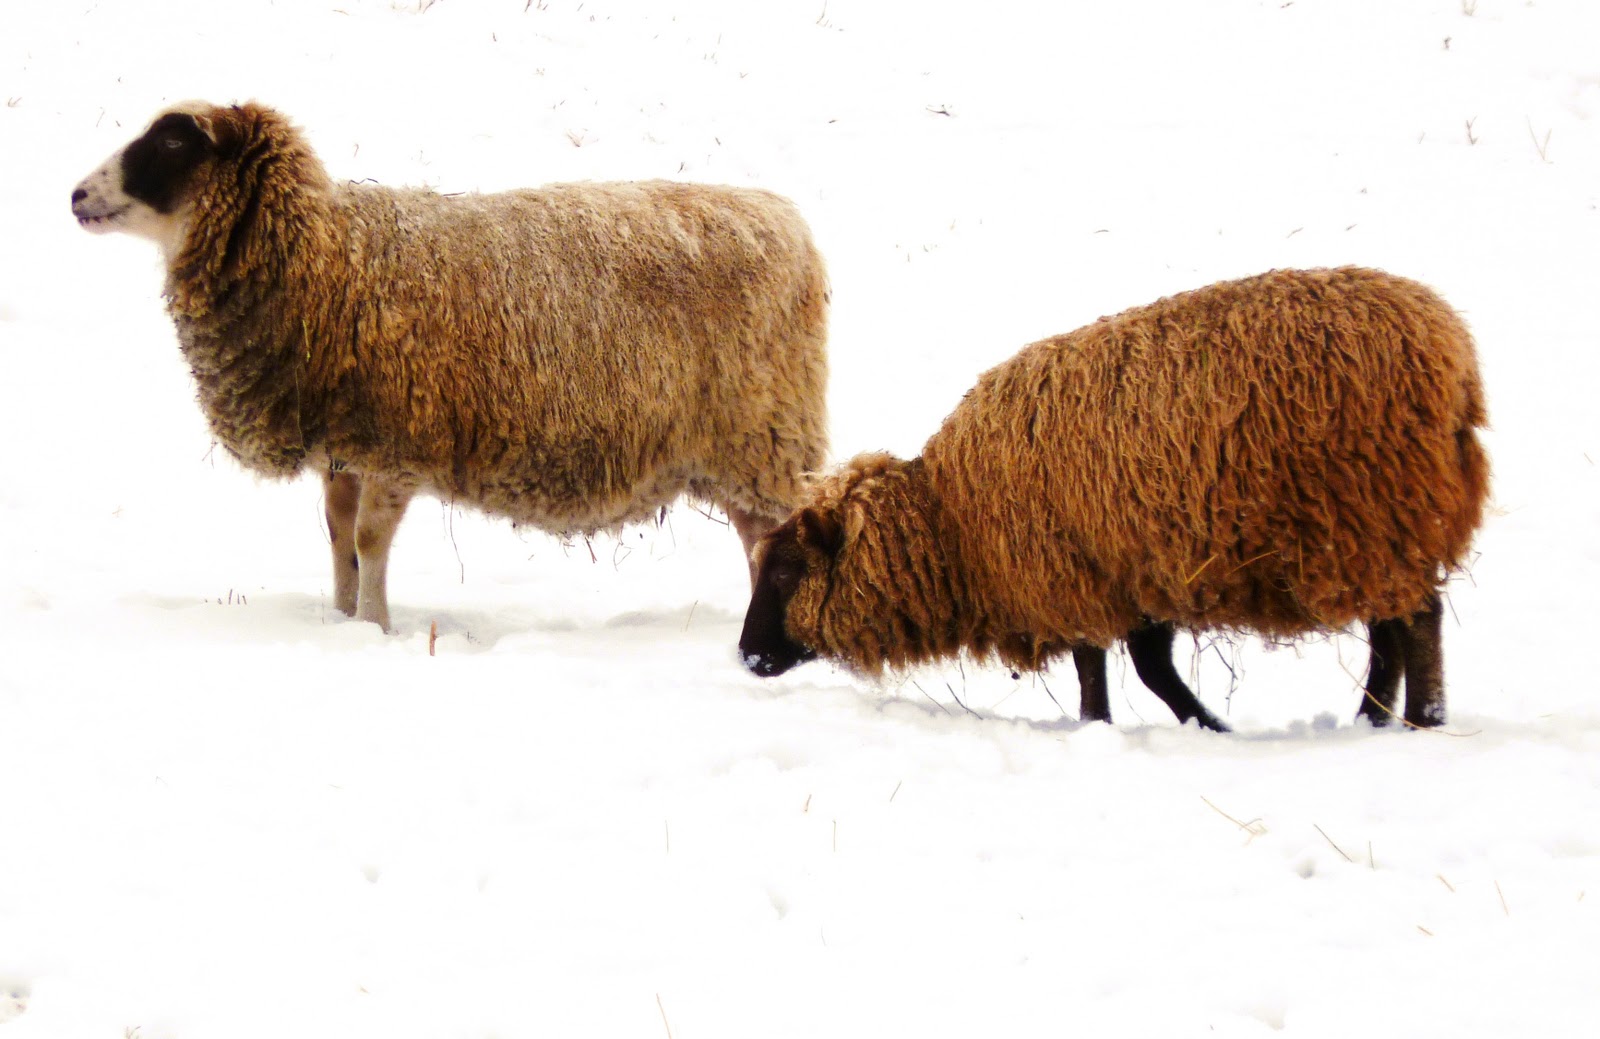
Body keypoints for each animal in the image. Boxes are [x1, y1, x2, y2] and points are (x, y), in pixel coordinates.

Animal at [71, 101, 829, 631]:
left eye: (174, 141)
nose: (76, 195)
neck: (324, 257)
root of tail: (789, 223)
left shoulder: (393, 440)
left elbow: (370, 540)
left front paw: (375, 626)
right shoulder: (345, 446)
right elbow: (338, 536)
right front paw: (341, 618)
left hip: (765, 436)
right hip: (747, 449)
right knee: (760, 542)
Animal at [739, 267, 1490, 730]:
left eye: (785, 573)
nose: (746, 658)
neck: (955, 519)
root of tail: (1452, 358)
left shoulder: (1077, 575)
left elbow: (1104, 669)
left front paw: (1124, 726)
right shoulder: (1127, 573)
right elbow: (1147, 668)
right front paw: (1203, 724)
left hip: (1379, 516)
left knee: (1417, 625)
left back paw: (1421, 721)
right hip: (1372, 535)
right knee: (1392, 630)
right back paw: (1372, 718)